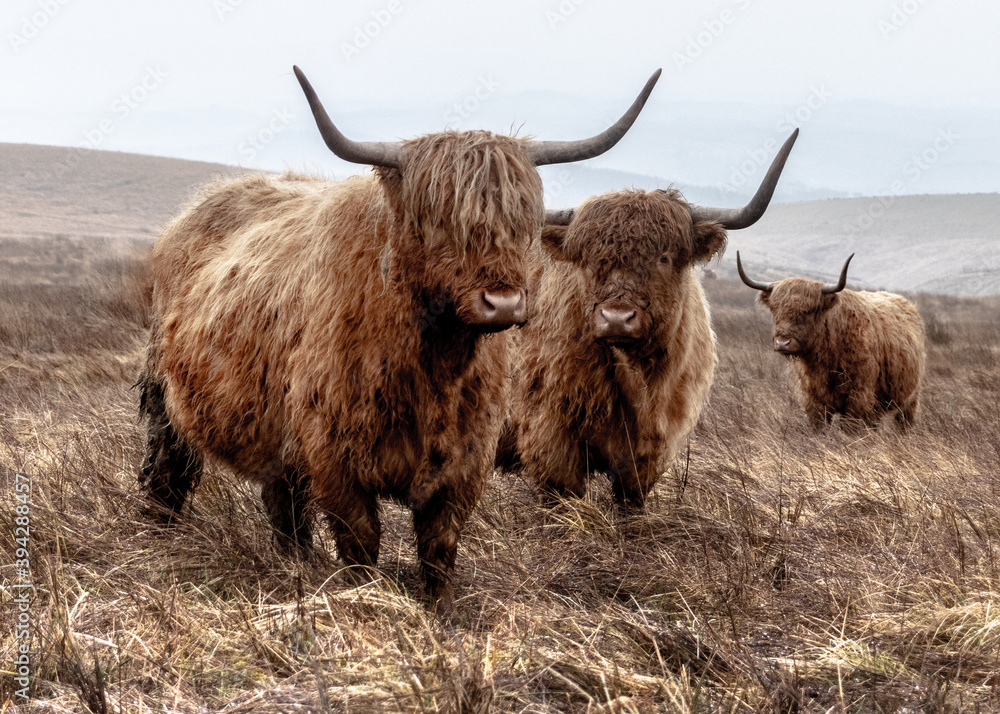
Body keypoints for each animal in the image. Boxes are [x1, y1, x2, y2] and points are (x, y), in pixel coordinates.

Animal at [136, 65, 661, 611]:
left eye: (522, 220)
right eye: (439, 220)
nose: (504, 302)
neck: (433, 363)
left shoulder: (464, 460)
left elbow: (439, 547)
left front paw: (440, 611)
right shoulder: (335, 458)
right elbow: (360, 542)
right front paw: (363, 598)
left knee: (283, 502)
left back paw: (294, 563)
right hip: (165, 397)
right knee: (167, 472)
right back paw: (159, 538)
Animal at [499, 130, 799, 506]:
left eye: (664, 257)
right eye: (587, 259)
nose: (616, 318)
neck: (639, 379)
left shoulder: (652, 452)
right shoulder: (549, 438)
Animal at [737, 252, 926, 431]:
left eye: (809, 310)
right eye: (775, 309)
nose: (782, 343)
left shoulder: (858, 397)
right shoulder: (813, 401)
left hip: (909, 400)